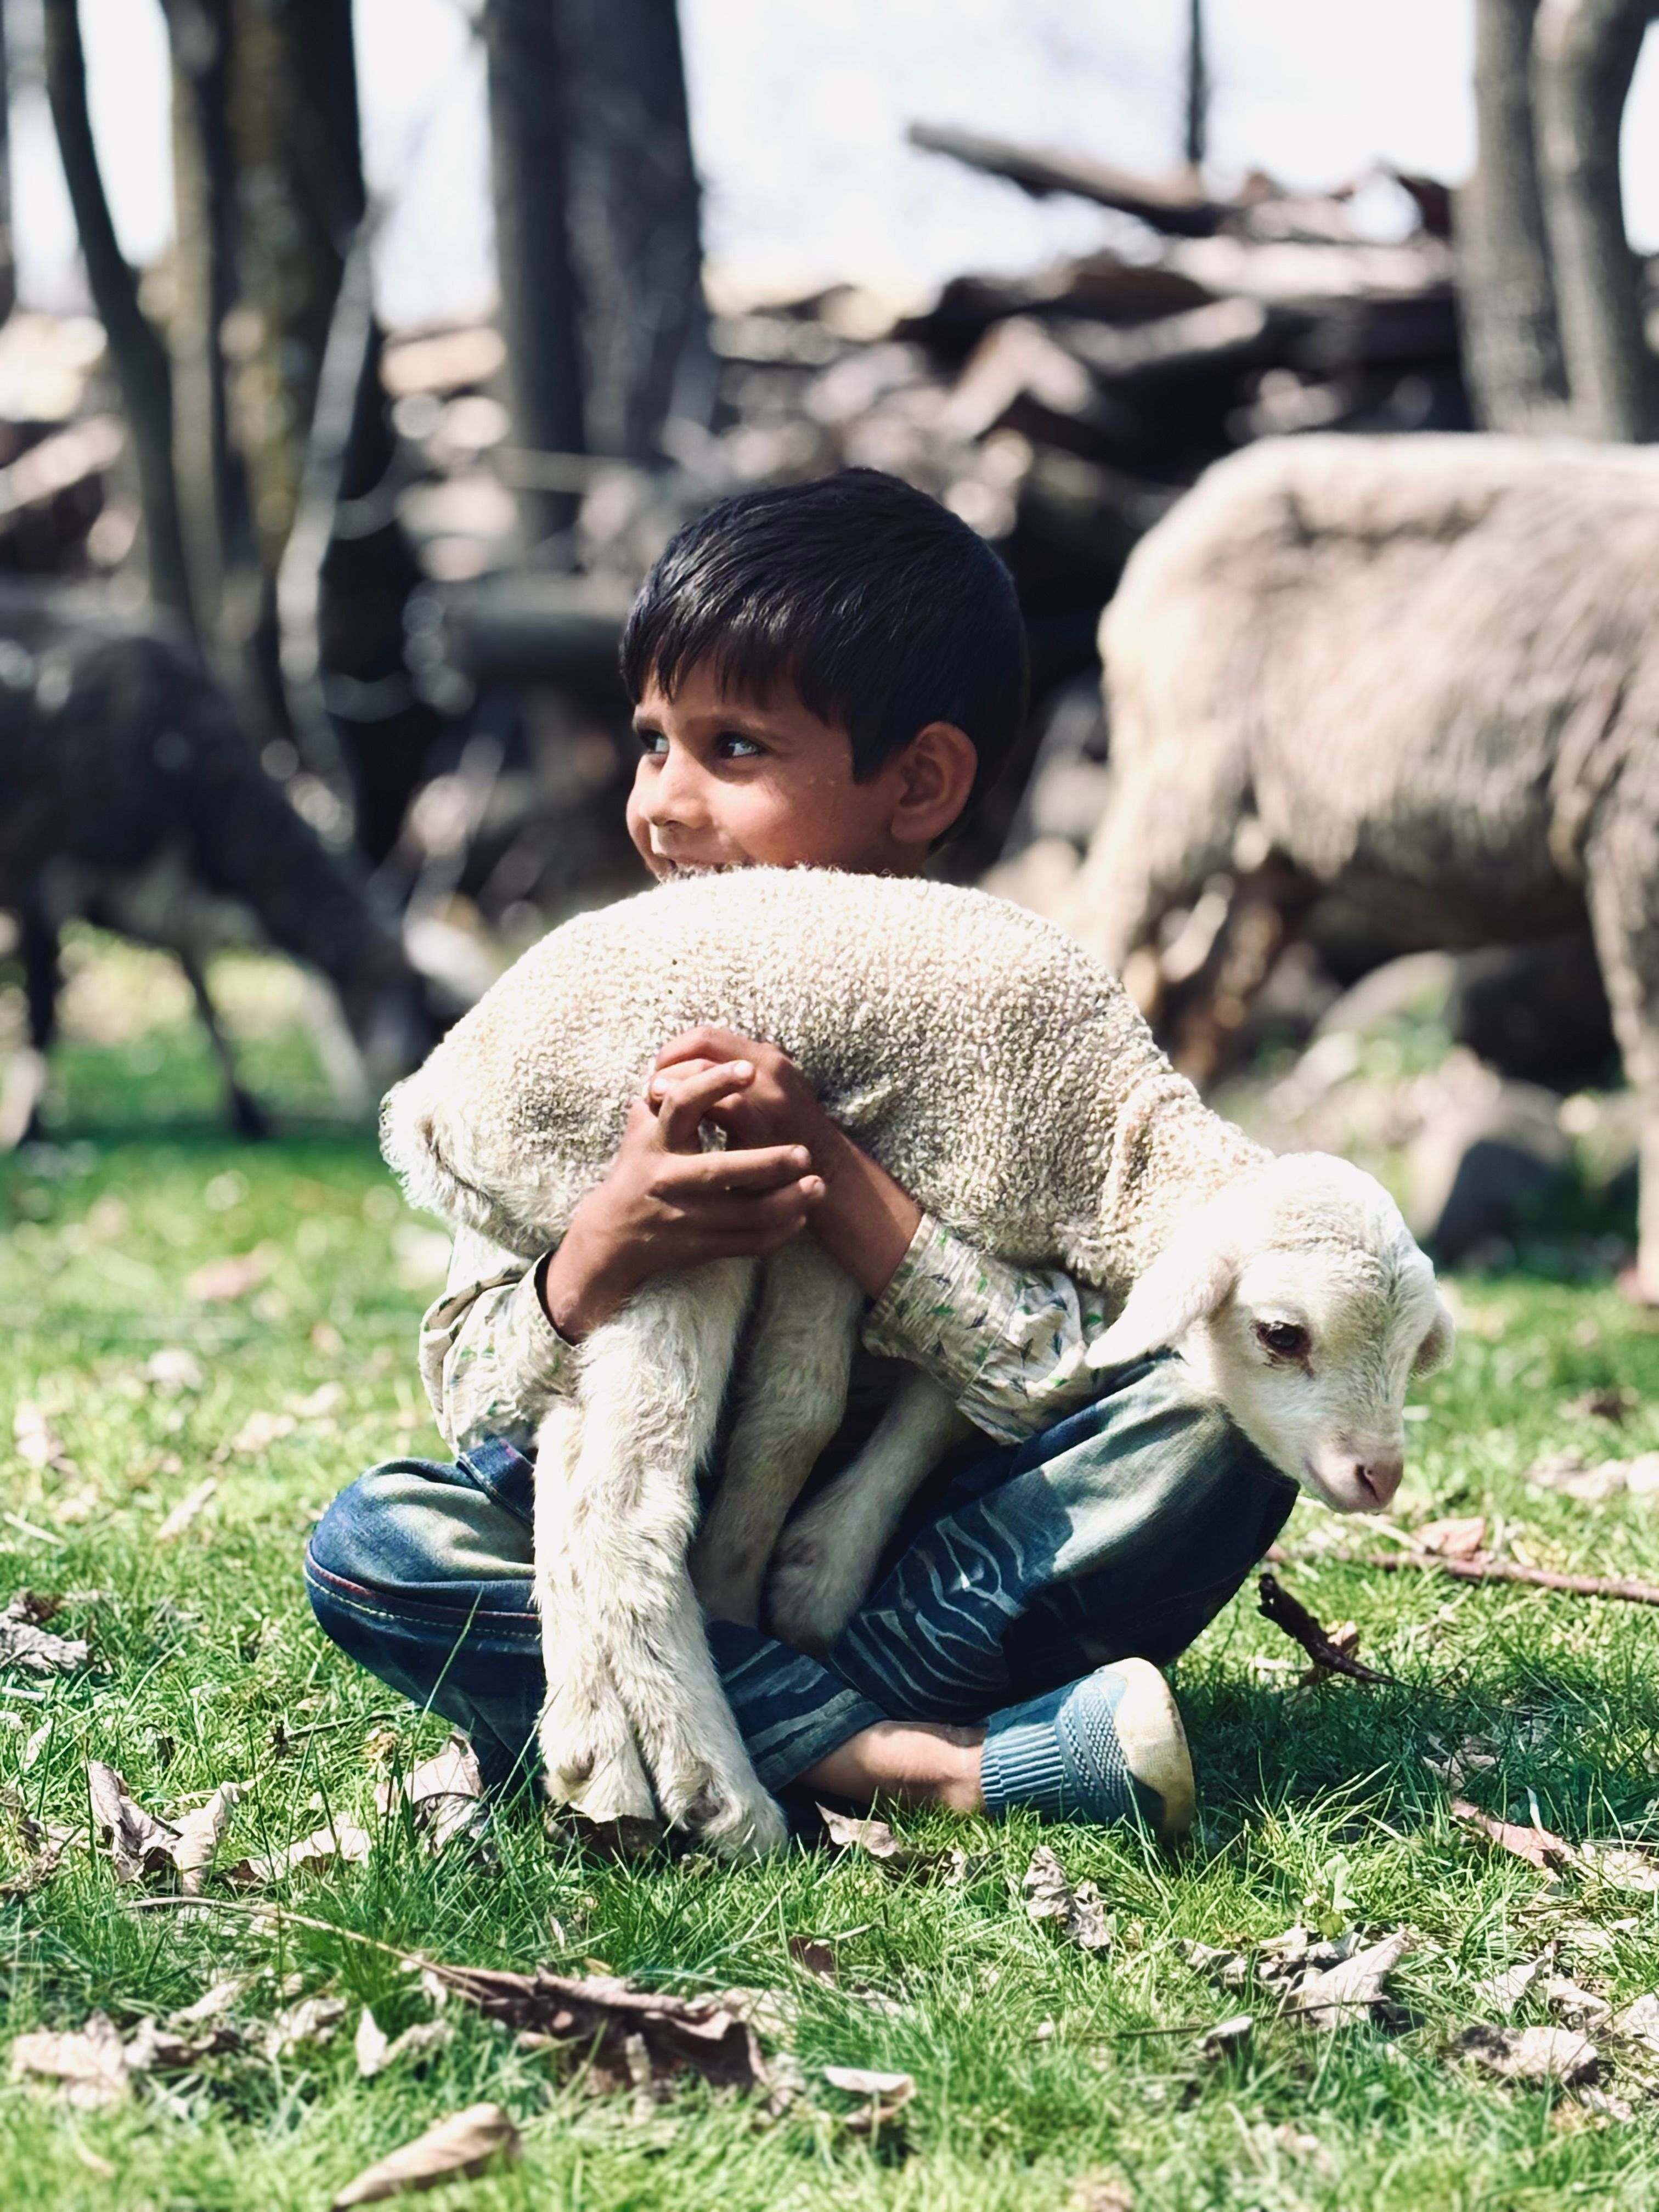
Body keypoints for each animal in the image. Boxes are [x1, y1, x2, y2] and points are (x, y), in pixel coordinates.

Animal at [0, 583, 432, 1141]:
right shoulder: (43, 871)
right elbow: (43, 1015)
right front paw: (29, 1129)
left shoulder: (170, 902)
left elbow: (208, 1005)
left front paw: (249, 1114)